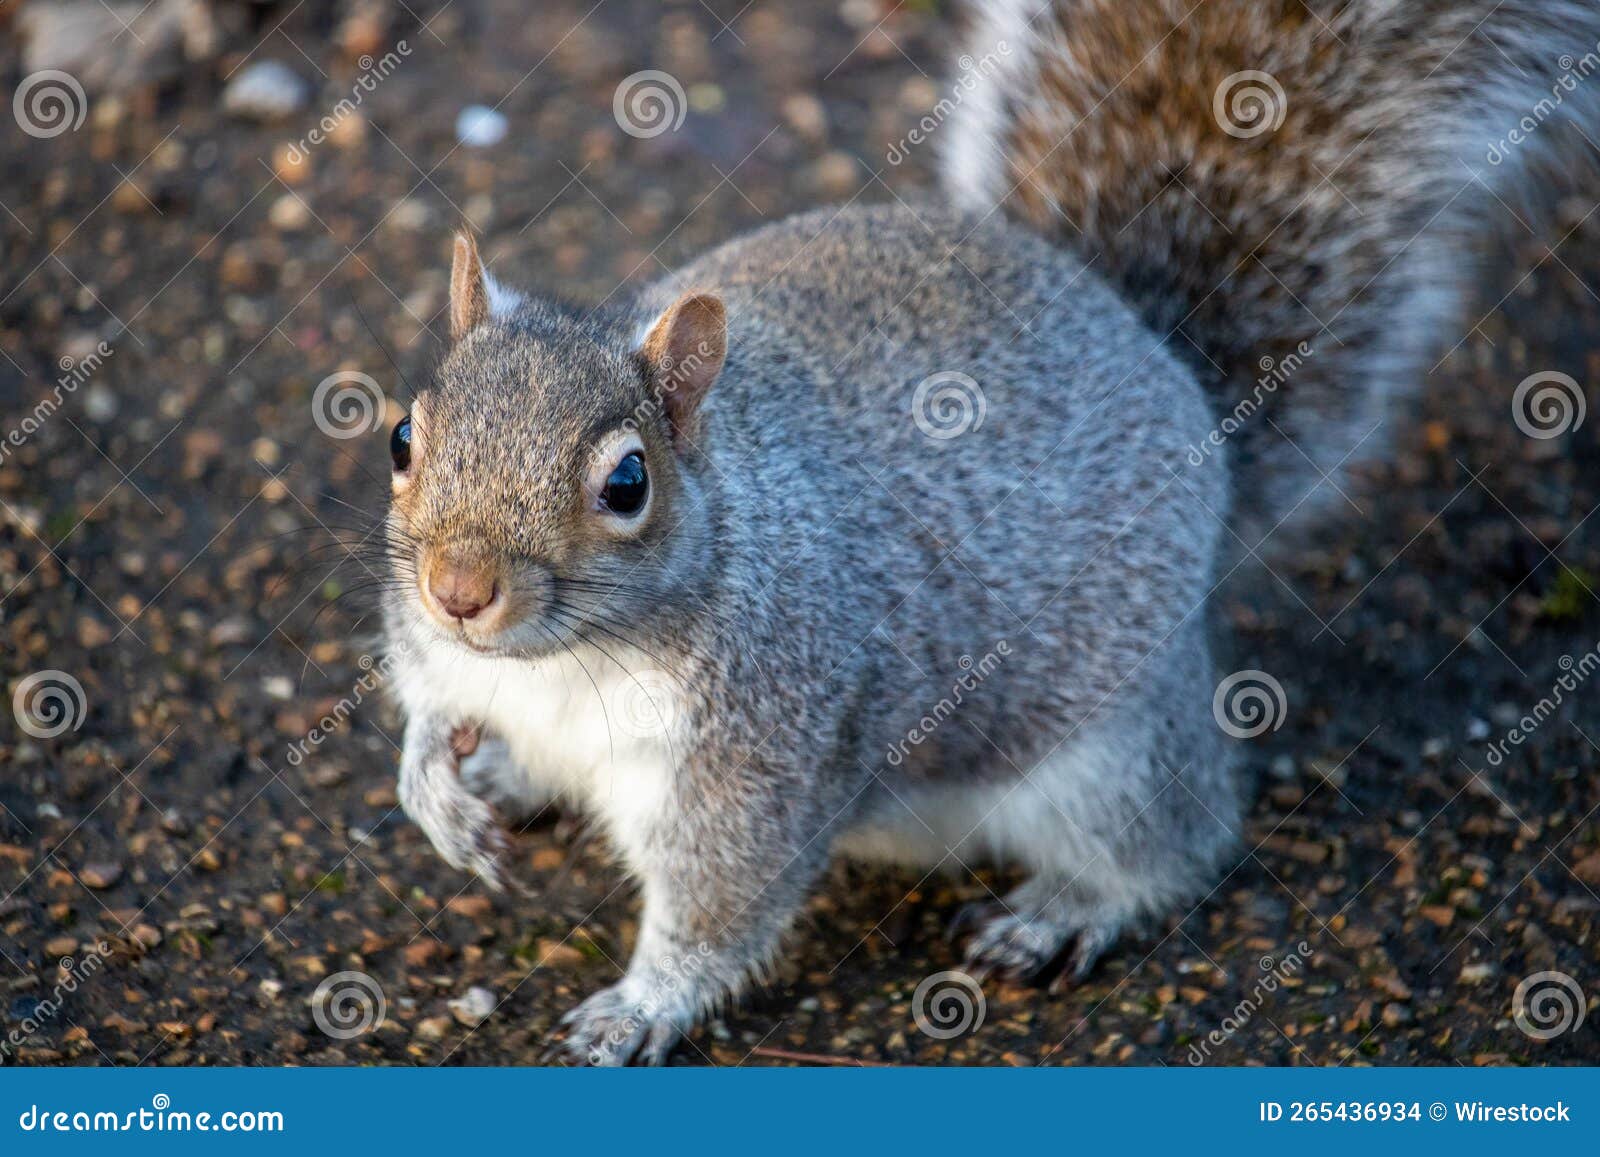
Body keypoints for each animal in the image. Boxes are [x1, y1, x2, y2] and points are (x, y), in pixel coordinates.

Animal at [380, 1, 1600, 1064]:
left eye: (627, 482)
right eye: (401, 436)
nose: (458, 590)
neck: (561, 662)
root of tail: (1183, 401)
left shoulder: (756, 754)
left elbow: (722, 903)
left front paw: (640, 1007)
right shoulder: (446, 657)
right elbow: (427, 705)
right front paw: (433, 791)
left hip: (1107, 752)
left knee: (1177, 834)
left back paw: (1067, 909)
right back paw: (501, 779)